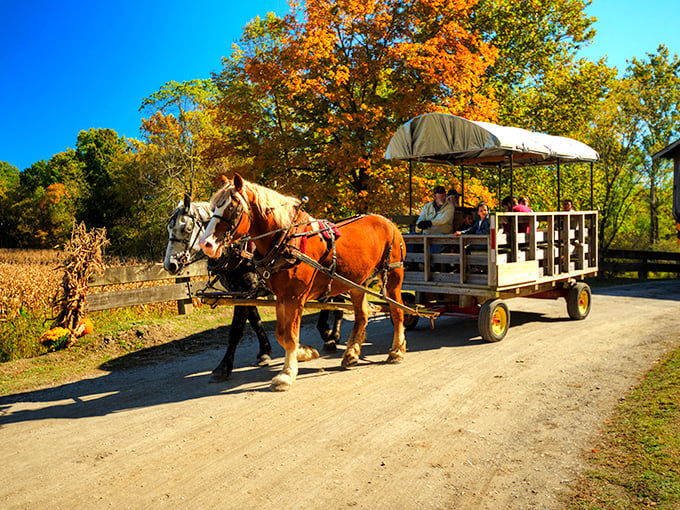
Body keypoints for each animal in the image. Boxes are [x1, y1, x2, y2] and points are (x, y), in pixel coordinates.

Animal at [164, 196, 343, 381]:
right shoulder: (242, 292)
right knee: (334, 300)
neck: (237, 251)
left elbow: (236, 330)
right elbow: (255, 321)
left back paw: (331, 336)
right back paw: (330, 334)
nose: (170, 265)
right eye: (169, 228)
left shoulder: (245, 293)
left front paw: (224, 366)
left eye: (186, 228)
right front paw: (265, 352)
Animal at [198, 174, 407, 391]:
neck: (285, 240)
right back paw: (351, 352)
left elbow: (289, 335)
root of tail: (387, 221)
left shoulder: (294, 297)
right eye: (214, 208)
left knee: (397, 311)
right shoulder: (281, 296)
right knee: (362, 315)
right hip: (357, 281)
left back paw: (396, 351)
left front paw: (287, 374)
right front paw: (304, 352)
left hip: (393, 277)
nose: (206, 244)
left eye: (232, 207)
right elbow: (281, 334)